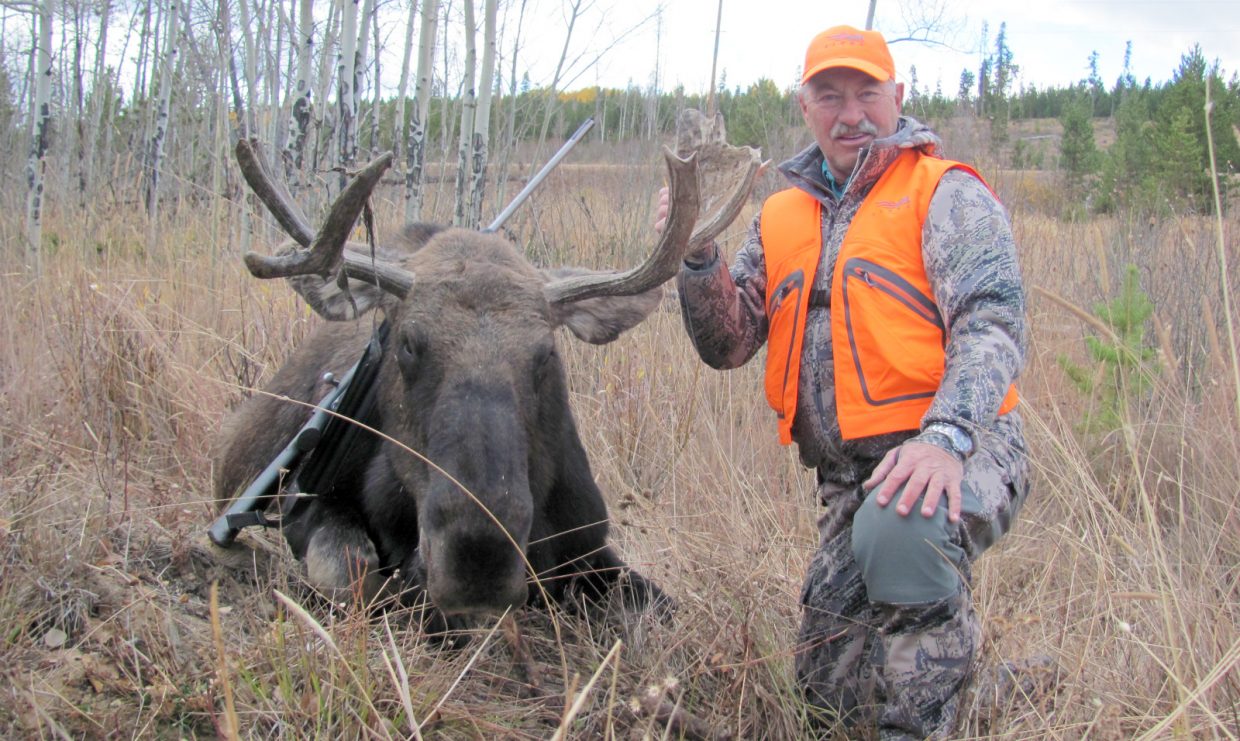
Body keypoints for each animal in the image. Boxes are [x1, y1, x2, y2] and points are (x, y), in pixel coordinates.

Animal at [212, 110, 761, 629]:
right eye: (406, 344)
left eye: (545, 354)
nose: (480, 556)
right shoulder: (308, 509)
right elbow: (350, 572)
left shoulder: (591, 543)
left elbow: (662, 607)